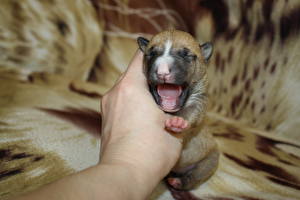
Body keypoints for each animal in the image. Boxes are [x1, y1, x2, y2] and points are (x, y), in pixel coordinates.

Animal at [137, 28, 219, 190]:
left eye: (185, 54)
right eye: (152, 53)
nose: (162, 71)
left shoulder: (200, 100)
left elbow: (193, 112)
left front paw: (178, 122)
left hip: (210, 161)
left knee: (194, 177)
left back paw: (178, 182)